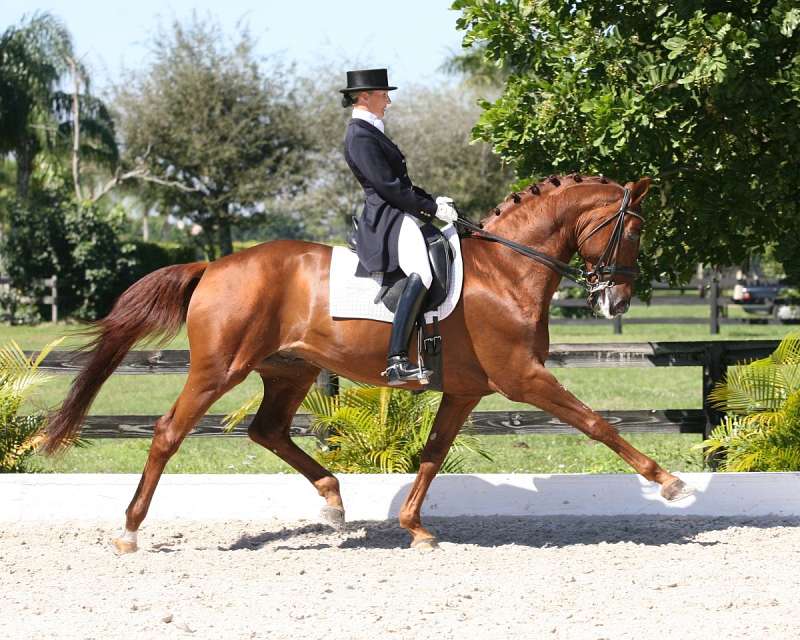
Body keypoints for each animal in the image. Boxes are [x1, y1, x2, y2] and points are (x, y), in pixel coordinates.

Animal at [43, 173, 694, 553]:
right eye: (633, 229)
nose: (617, 301)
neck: (509, 271)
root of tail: (214, 266)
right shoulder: (523, 378)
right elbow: (596, 423)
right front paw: (670, 484)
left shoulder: (465, 392)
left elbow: (432, 455)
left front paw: (415, 528)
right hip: (218, 370)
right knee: (168, 432)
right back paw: (129, 531)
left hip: (290, 370)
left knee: (268, 431)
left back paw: (333, 503)